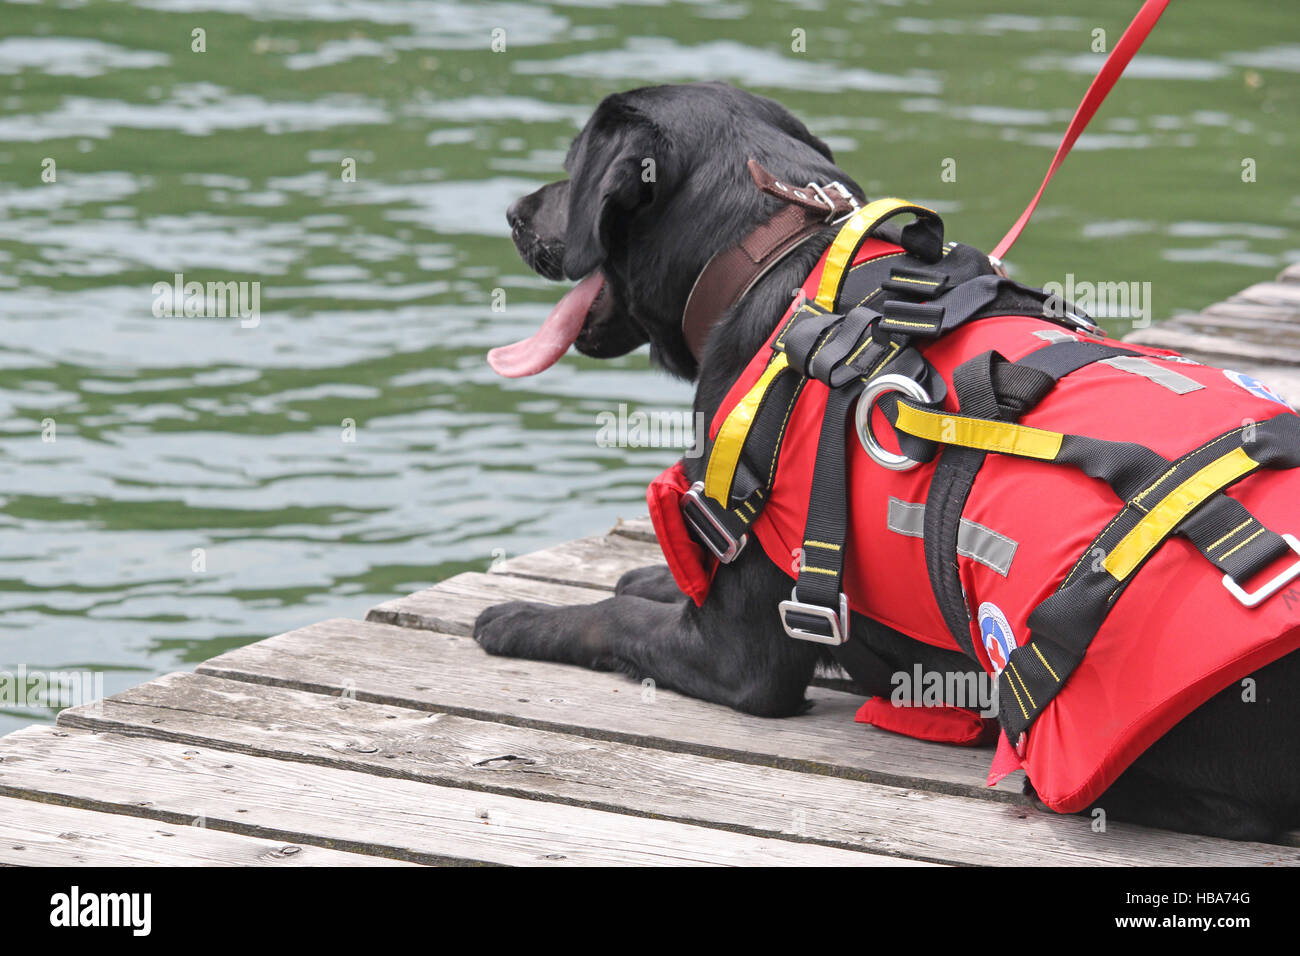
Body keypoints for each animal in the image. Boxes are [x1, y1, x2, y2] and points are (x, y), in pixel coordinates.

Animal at [478, 83, 1300, 842]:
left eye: (572, 165)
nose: (514, 211)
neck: (768, 254)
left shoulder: (738, 659)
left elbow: (609, 618)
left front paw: (518, 617)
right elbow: (662, 584)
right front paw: (649, 574)